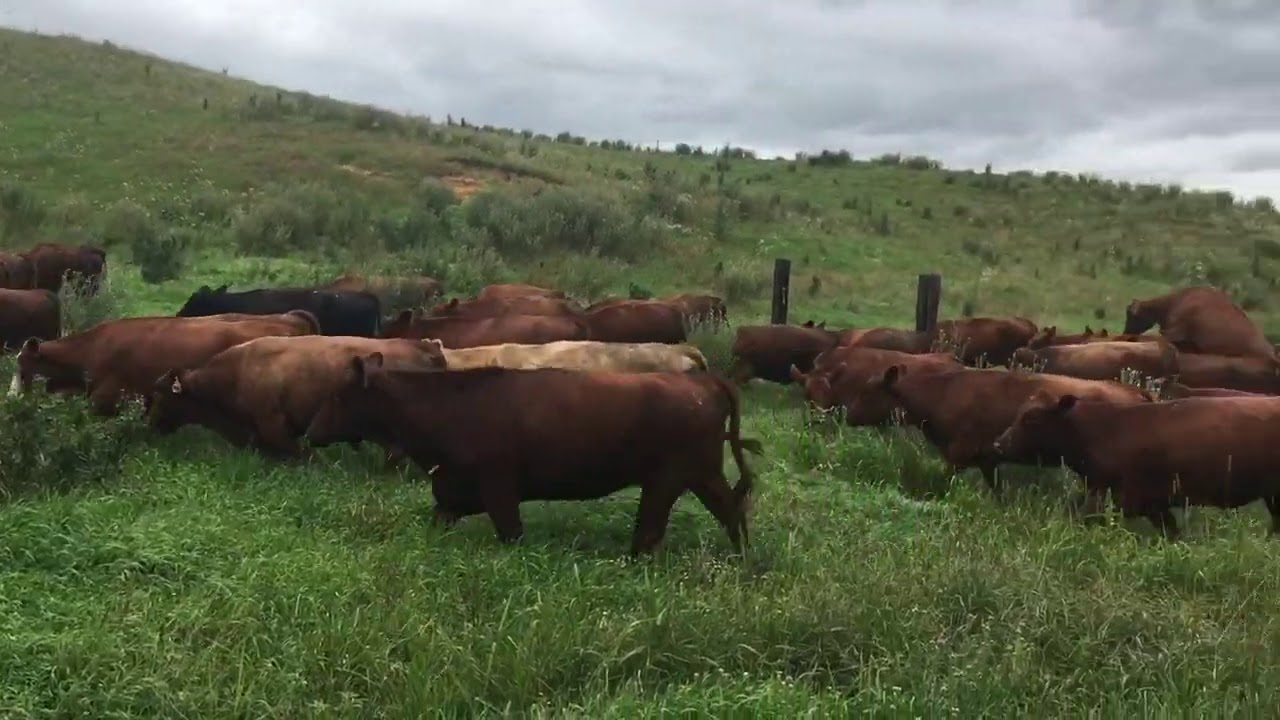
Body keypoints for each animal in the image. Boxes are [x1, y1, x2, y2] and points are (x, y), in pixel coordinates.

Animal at [303, 356, 761, 556]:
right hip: (696, 476)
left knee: (658, 528)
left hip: (673, 478)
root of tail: (705, 382)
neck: (448, 405)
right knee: (730, 511)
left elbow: (512, 534)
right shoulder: (451, 492)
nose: (310, 432)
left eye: (337, 395)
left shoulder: (499, 488)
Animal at [863, 366, 1154, 498]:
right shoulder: (986, 459)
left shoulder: (959, 453)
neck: (944, 392)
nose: (851, 413)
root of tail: (1136, 391)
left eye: (870, 390)